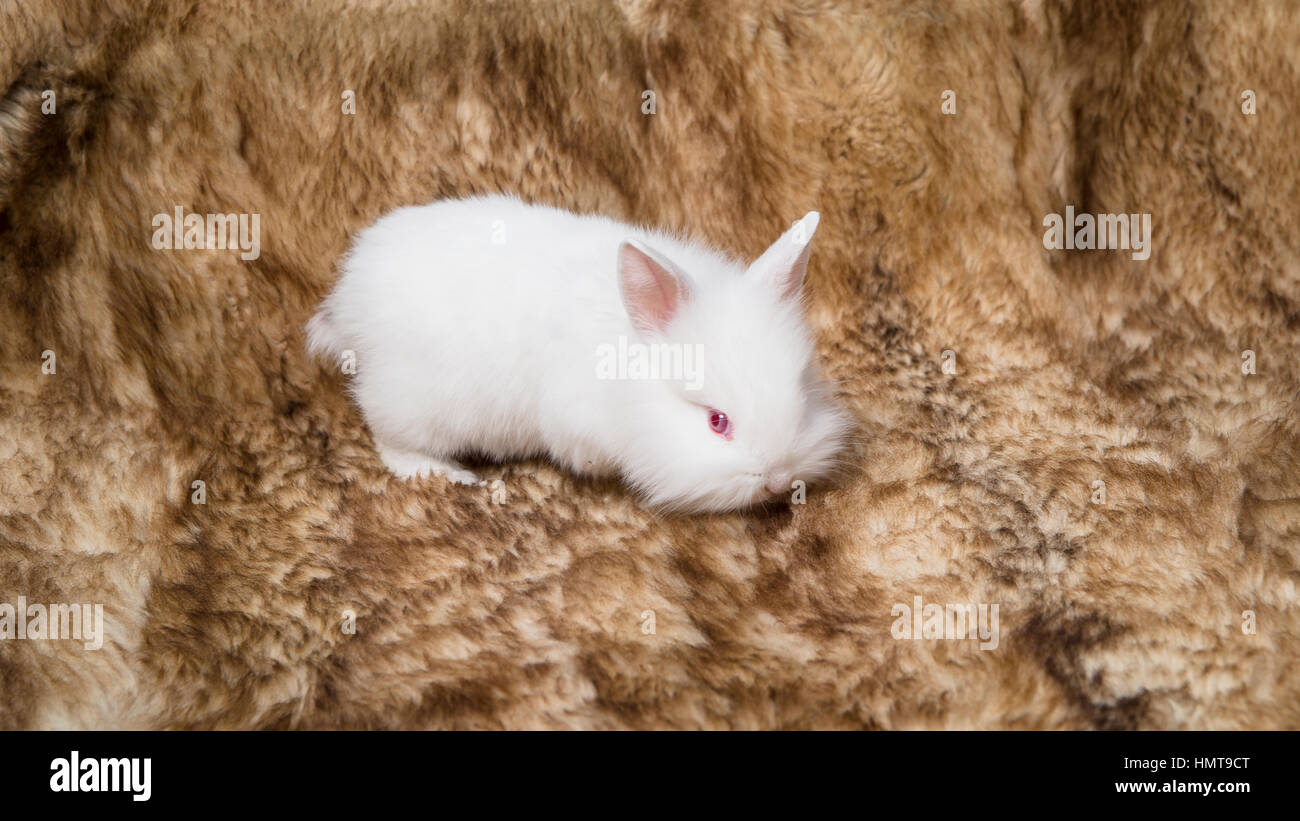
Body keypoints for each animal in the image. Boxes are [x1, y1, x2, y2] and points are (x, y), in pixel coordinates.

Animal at [307, 194, 849, 512]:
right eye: (717, 422)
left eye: (803, 397)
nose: (778, 480)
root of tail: (349, 299)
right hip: (411, 405)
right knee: (390, 442)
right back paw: (446, 474)